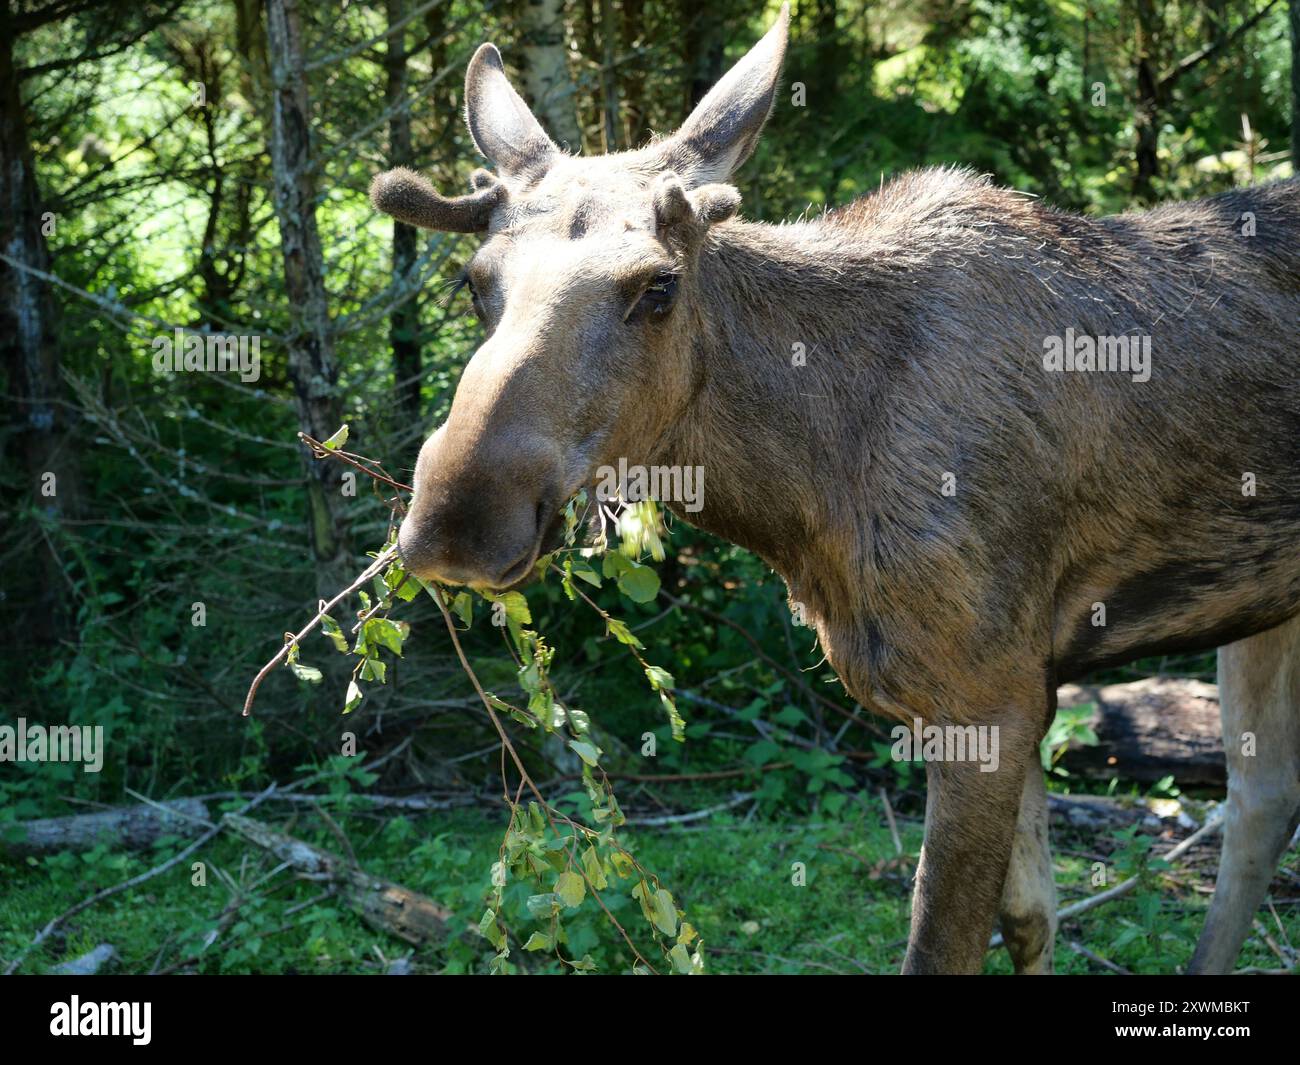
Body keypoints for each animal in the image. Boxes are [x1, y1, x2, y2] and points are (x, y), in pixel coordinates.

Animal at [369, 4, 1300, 974]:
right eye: (475, 282)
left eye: (658, 288)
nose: (457, 517)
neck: (804, 504)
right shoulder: (1015, 685)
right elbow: (1033, 912)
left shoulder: (990, 693)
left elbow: (947, 944)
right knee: (1263, 797)